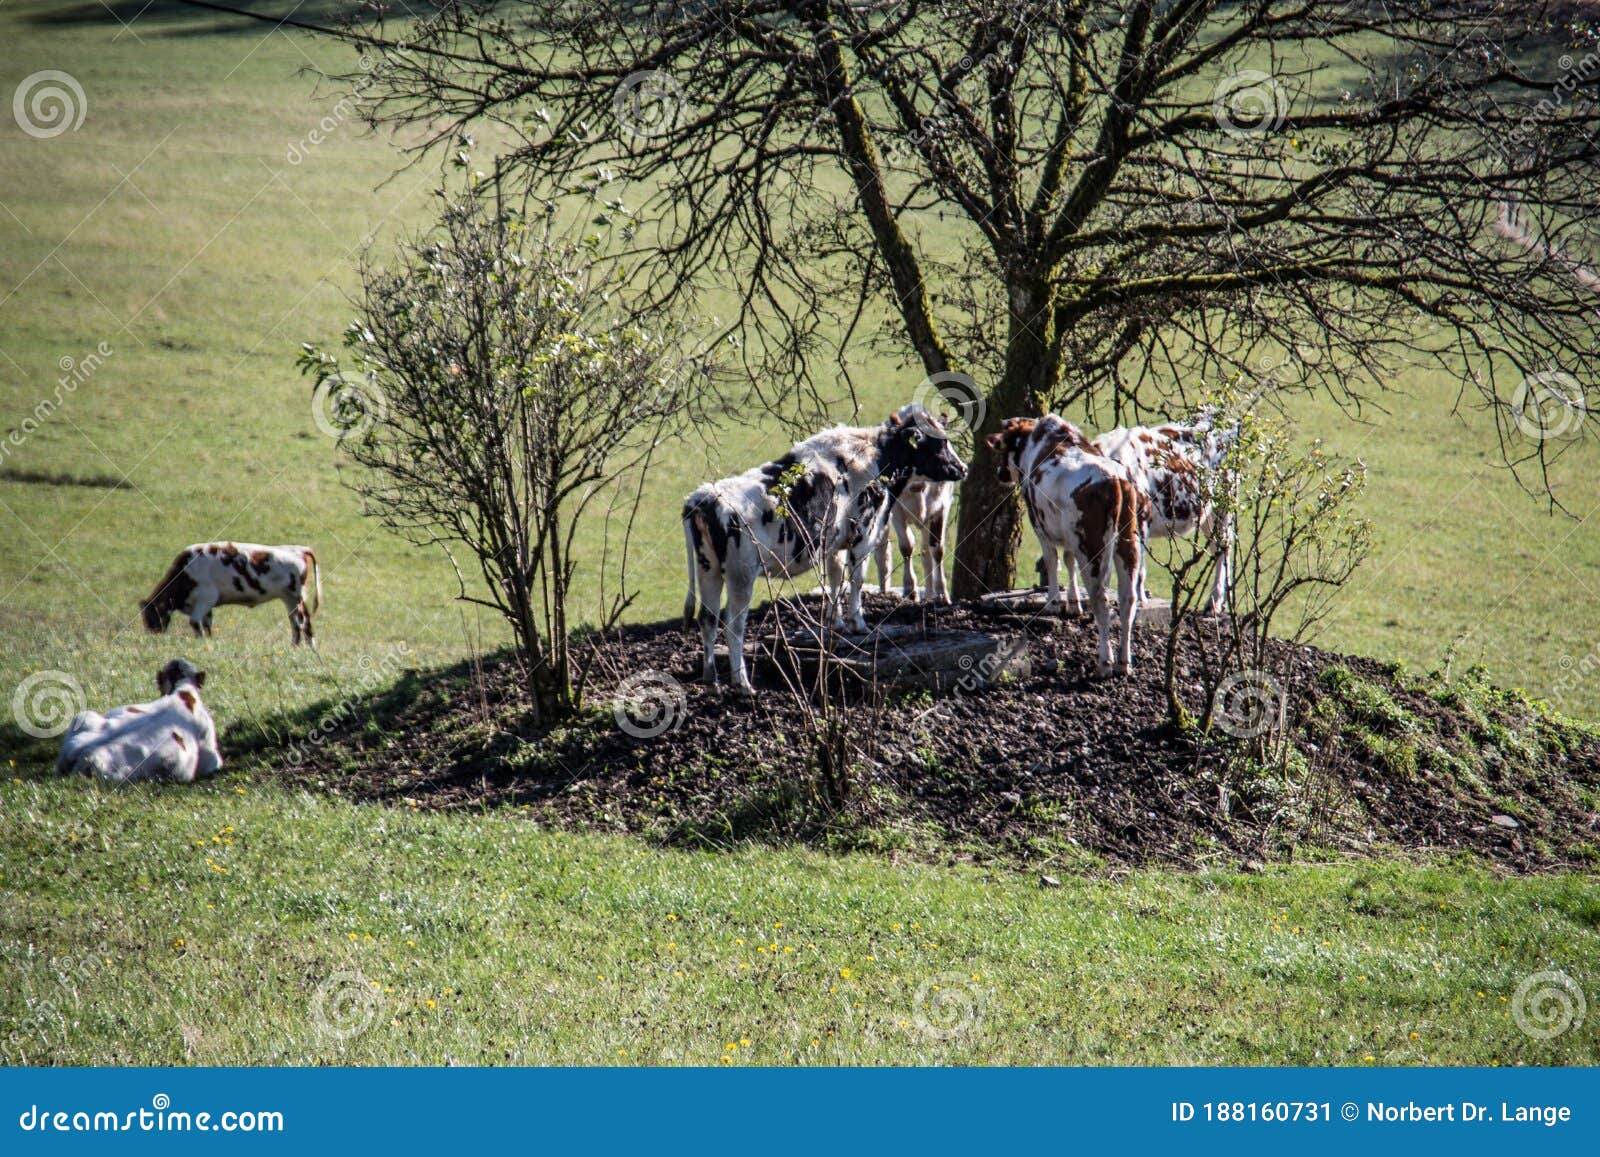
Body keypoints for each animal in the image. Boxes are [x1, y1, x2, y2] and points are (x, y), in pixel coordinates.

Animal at [140, 542, 322, 646]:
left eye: (151, 614)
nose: (152, 634)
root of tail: (298, 549)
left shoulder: (206, 597)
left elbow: (195, 622)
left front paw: (201, 643)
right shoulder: (207, 606)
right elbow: (207, 624)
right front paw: (209, 641)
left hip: (297, 596)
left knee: (304, 621)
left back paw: (310, 648)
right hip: (288, 598)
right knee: (294, 623)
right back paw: (294, 647)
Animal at [872, 403, 957, 604]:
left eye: (946, 441)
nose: (962, 468)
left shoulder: (940, 509)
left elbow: (937, 550)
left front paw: (942, 593)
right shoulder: (896, 511)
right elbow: (906, 547)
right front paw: (910, 589)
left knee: (926, 554)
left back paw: (931, 592)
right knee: (883, 553)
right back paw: (883, 591)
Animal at [986, 414, 1142, 676]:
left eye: (1002, 448)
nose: (999, 473)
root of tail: (1113, 478)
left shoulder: (1039, 525)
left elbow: (1052, 561)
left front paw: (1053, 602)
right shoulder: (1068, 535)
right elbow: (1068, 561)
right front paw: (1073, 602)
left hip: (1091, 549)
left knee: (1100, 600)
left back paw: (1105, 661)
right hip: (1127, 542)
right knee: (1128, 599)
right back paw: (1123, 661)